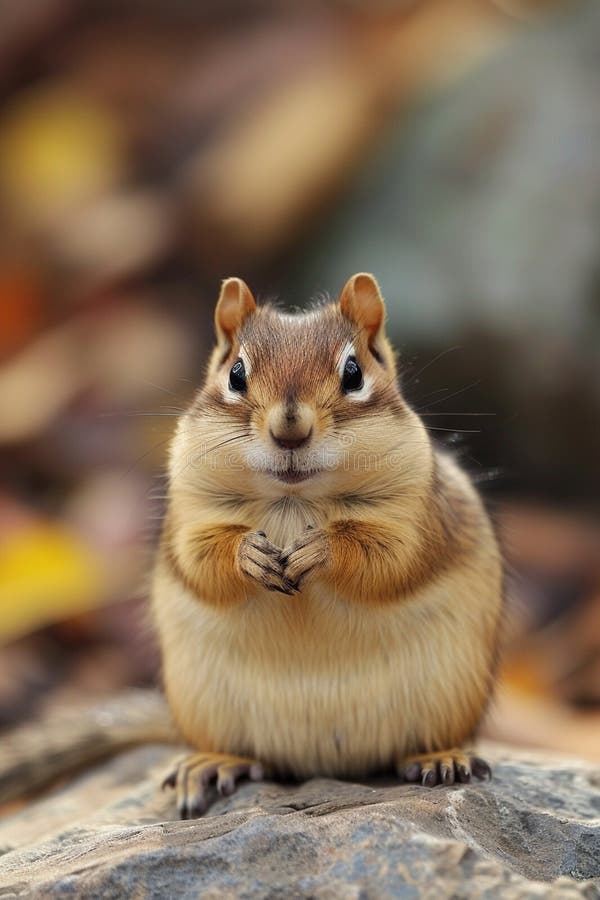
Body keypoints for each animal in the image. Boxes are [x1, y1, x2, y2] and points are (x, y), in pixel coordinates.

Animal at [153, 272, 503, 817]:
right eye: (235, 374)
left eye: (354, 372)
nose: (289, 429)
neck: (295, 500)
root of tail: (323, 765)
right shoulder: (189, 514)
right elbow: (201, 560)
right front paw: (249, 554)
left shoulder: (416, 518)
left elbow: (390, 558)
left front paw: (321, 550)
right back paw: (213, 763)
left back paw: (440, 757)